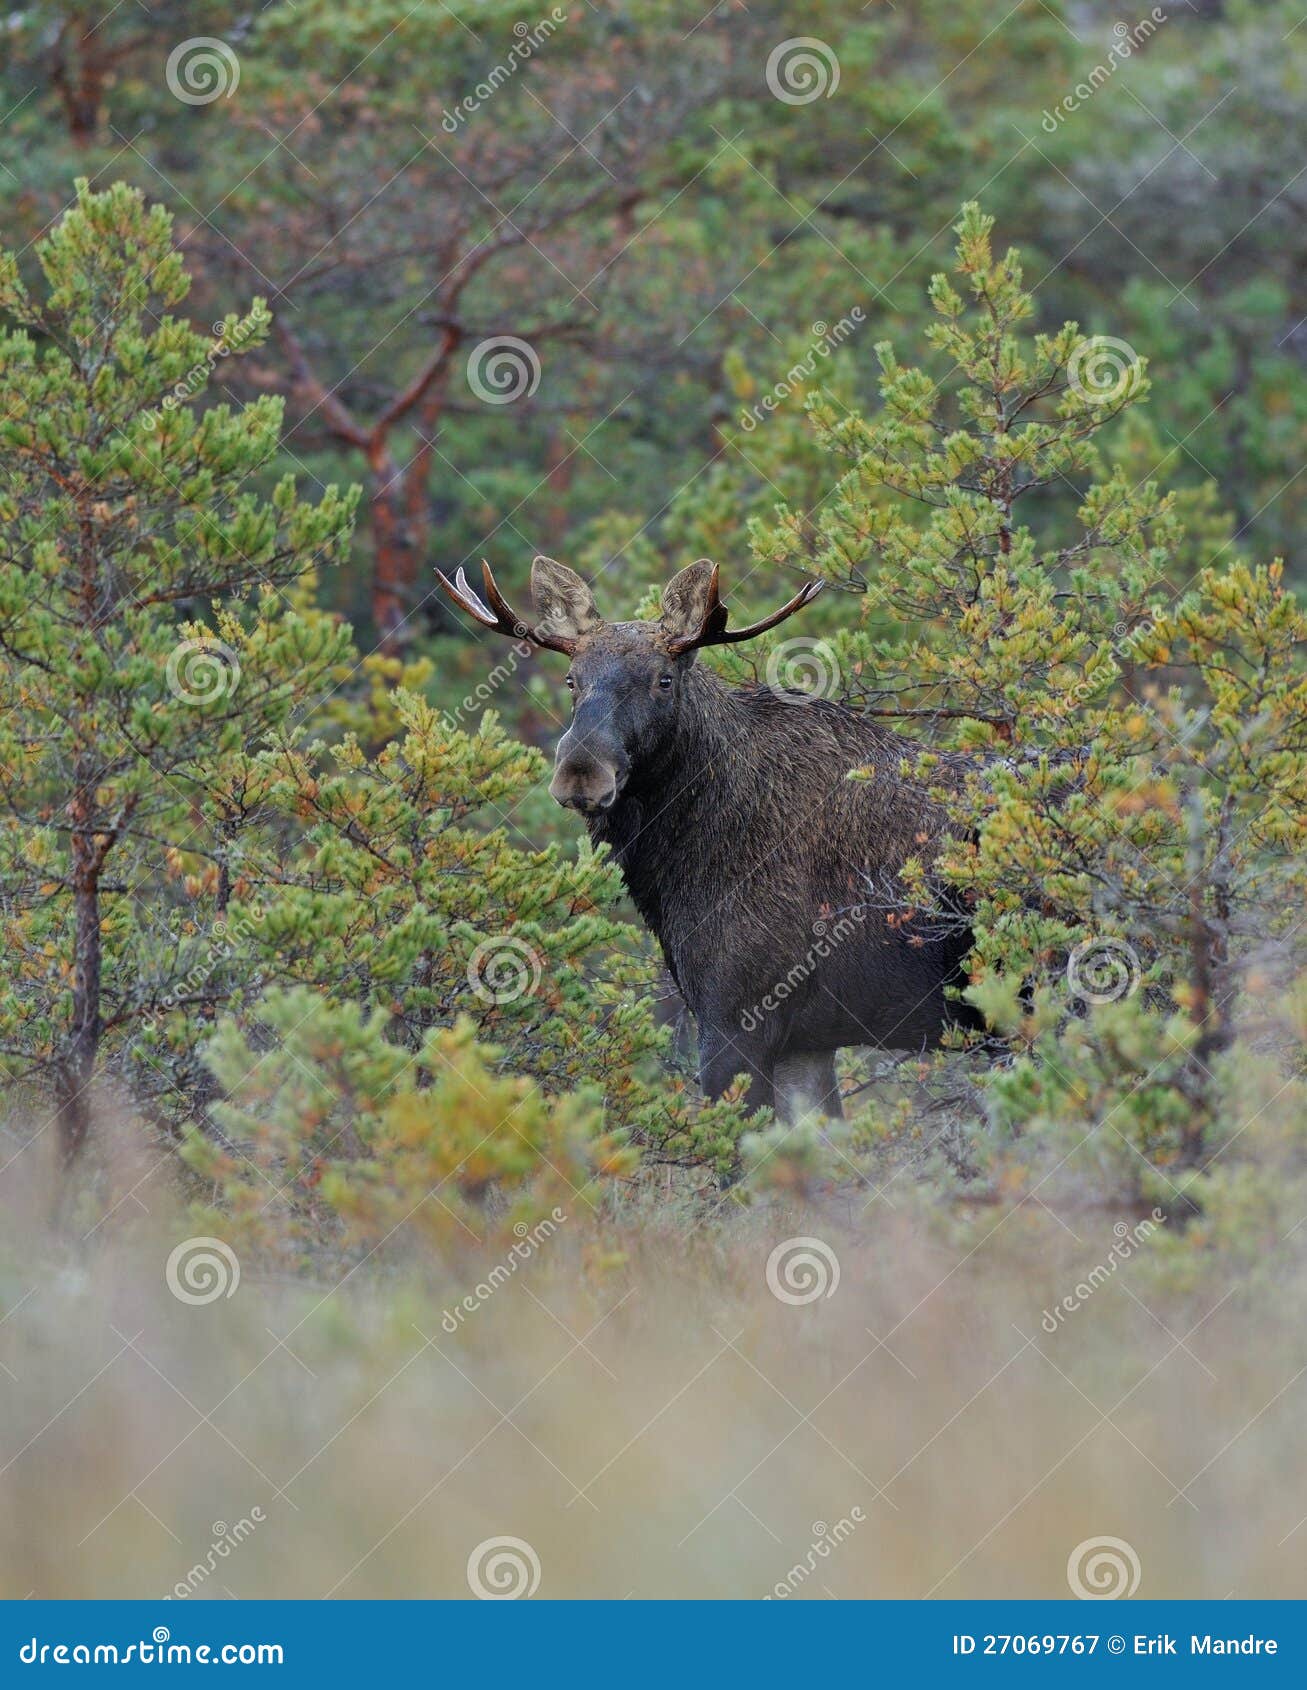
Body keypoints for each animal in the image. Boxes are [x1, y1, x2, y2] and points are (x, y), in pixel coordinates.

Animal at [436, 555, 982, 1124]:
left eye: (664, 679)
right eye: (571, 679)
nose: (581, 772)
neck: (675, 869)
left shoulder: (736, 1016)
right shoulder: (805, 1043)